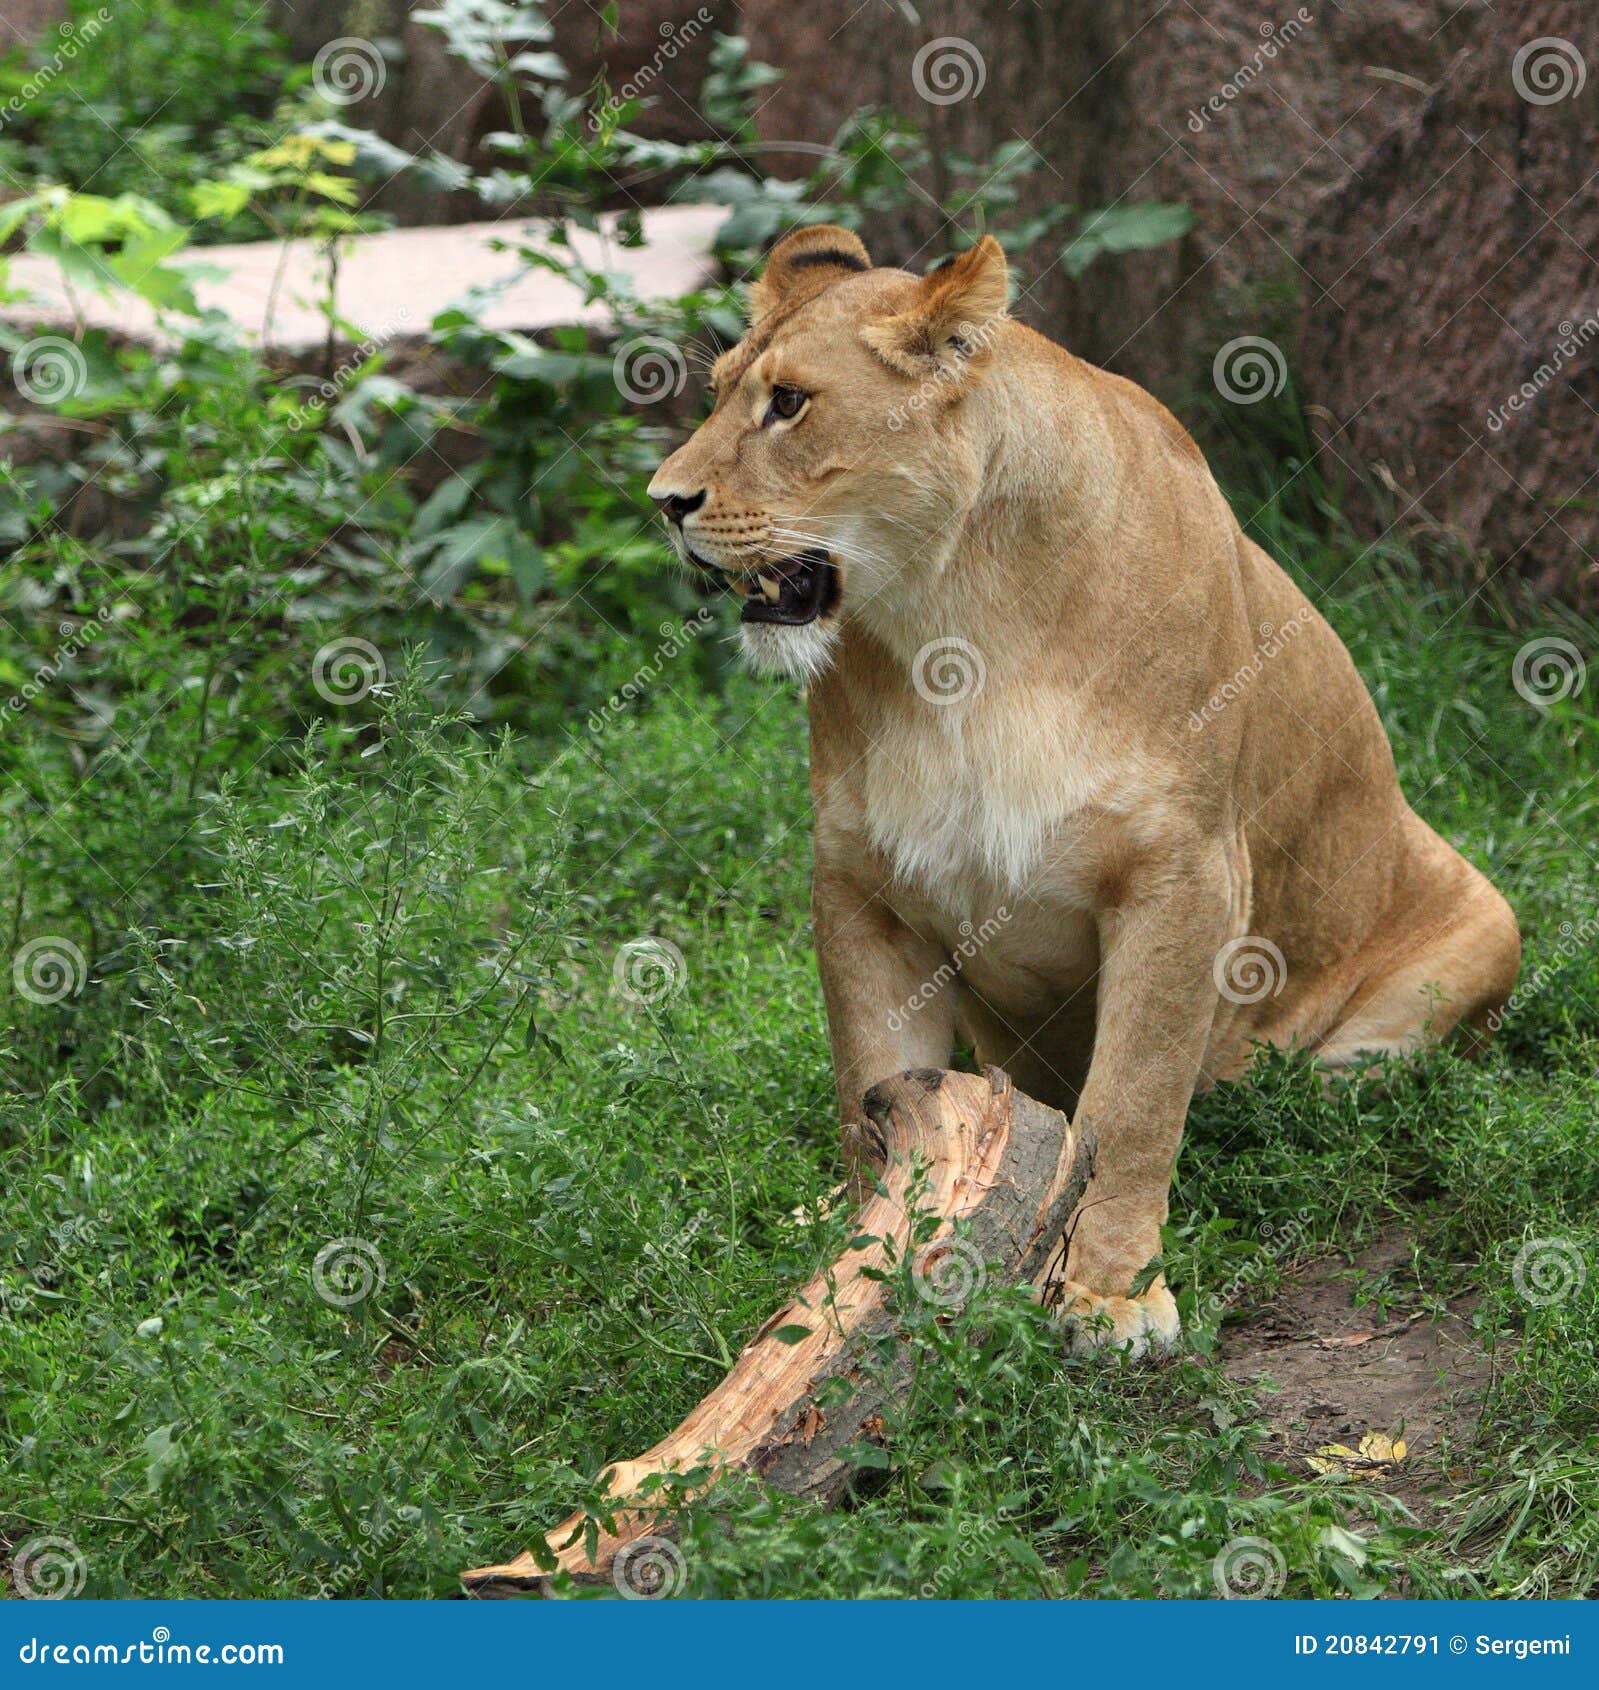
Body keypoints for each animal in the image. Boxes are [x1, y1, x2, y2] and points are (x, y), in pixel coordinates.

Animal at [648, 225, 1520, 1356]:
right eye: (716, 395)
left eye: (790, 402)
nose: (663, 502)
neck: (951, 623)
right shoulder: (860, 886)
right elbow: (867, 1087)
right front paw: (849, 1280)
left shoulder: (1182, 875)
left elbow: (1134, 1102)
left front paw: (1109, 1292)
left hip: (1481, 925)